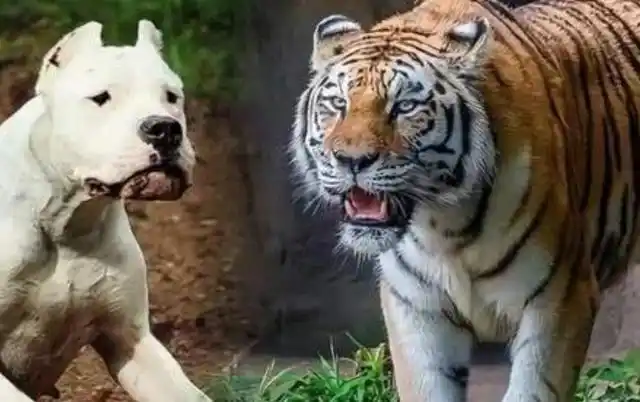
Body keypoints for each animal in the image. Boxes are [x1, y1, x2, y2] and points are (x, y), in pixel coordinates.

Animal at [289, 0, 640, 400]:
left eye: (405, 106)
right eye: (338, 104)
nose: (351, 160)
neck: (444, 225)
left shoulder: (560, 295)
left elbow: (533, 386)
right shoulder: (415, 306)